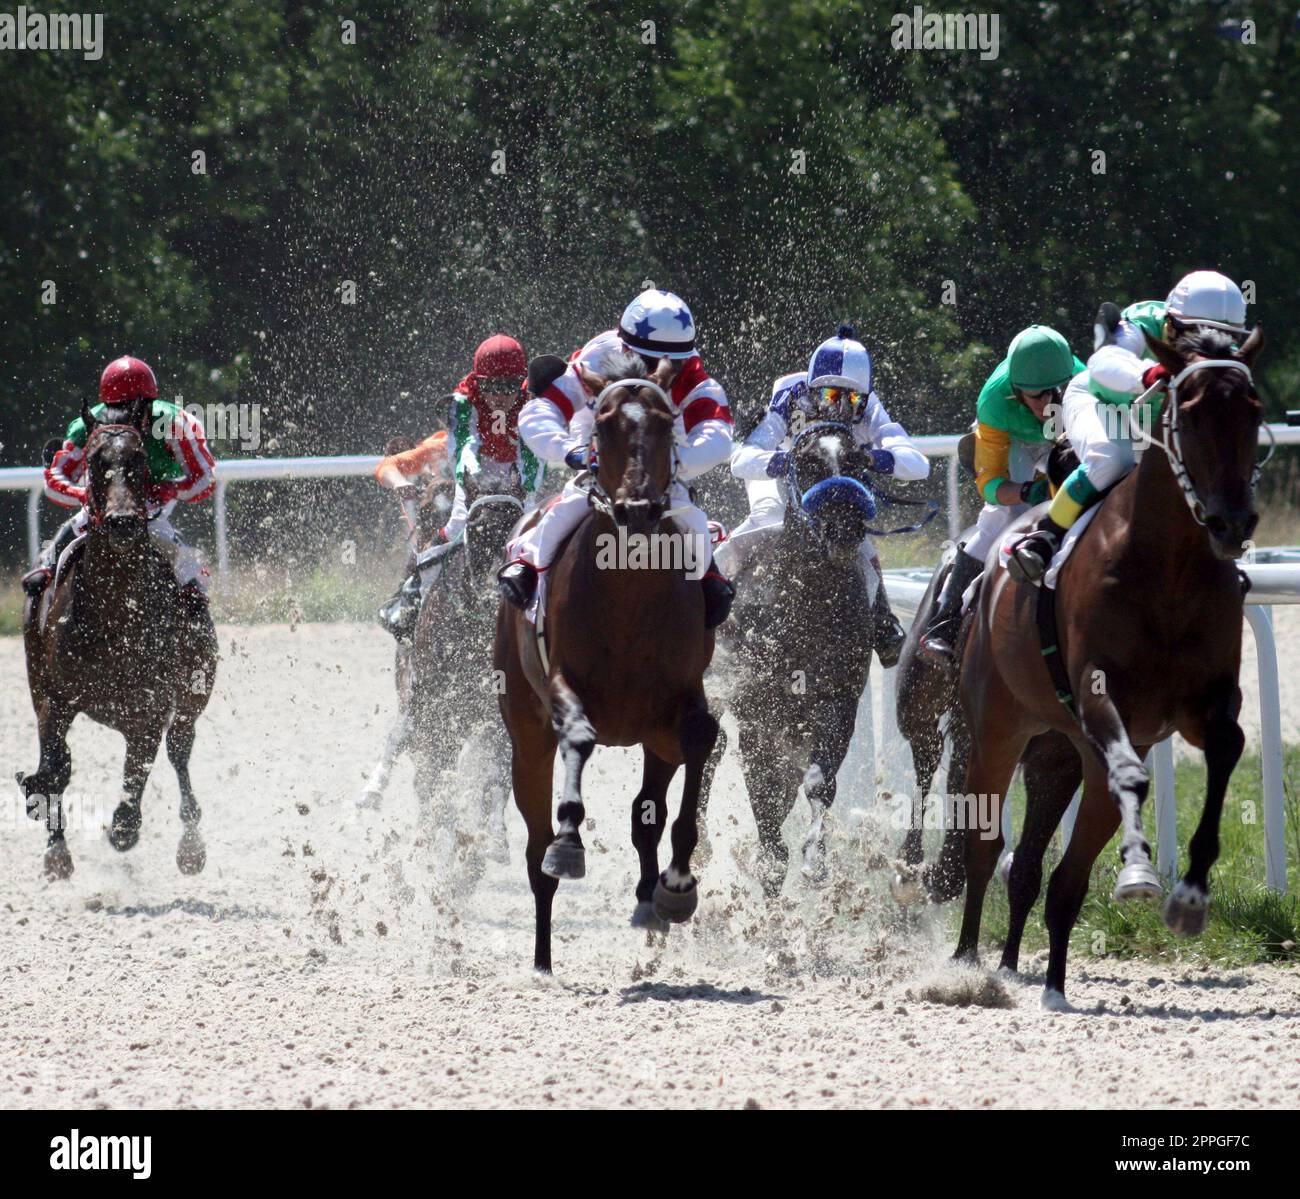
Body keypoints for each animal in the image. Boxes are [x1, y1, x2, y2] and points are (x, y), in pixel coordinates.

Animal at [19, 396, 218, 880]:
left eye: (141, 460)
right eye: (93, 461)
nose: (124, 523)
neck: (115, 613)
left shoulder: (150, 706)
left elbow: (140, 767)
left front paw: (124, 828)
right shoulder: (54, 697)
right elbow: (55, 769)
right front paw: (55, 847)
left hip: (194, 694)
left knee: (179, 750)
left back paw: (190, 845)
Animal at [494, 357, 718, 973]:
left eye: (666, 423)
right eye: (604, 424)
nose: (637, 509)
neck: (629, 593)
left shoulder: (676, 707)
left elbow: (699, 742)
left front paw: (676, 884)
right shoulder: (562, 688)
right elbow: (577, 736)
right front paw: (570, 840)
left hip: (653, 739)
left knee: (647, 813)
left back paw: (649, 900)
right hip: (524, 734)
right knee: (534, 851)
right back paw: (543, 959)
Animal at [700, 421, 880, 897]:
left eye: (858, 462)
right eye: (809, 462)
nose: (843, 528)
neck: (804, 600)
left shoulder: (837, 702)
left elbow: (818, 782)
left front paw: (815, 860)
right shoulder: (757, 713)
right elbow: (763, 801)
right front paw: (772, 863)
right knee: (710, 754)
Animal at [955, 325, 1264, 1007]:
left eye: (1255, 413)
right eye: (1190, 414)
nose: (1232, 521)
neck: (1169, 567)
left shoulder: (1203, 705)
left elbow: (1226, 751)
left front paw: (1189, 897)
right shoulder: (1100, 694)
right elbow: (1131, 774)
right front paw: (1140, 872)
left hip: (1065, 748)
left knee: (1062, 875)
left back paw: (1048, 981)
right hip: (997, 726)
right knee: (985, 848)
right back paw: (965, 964)